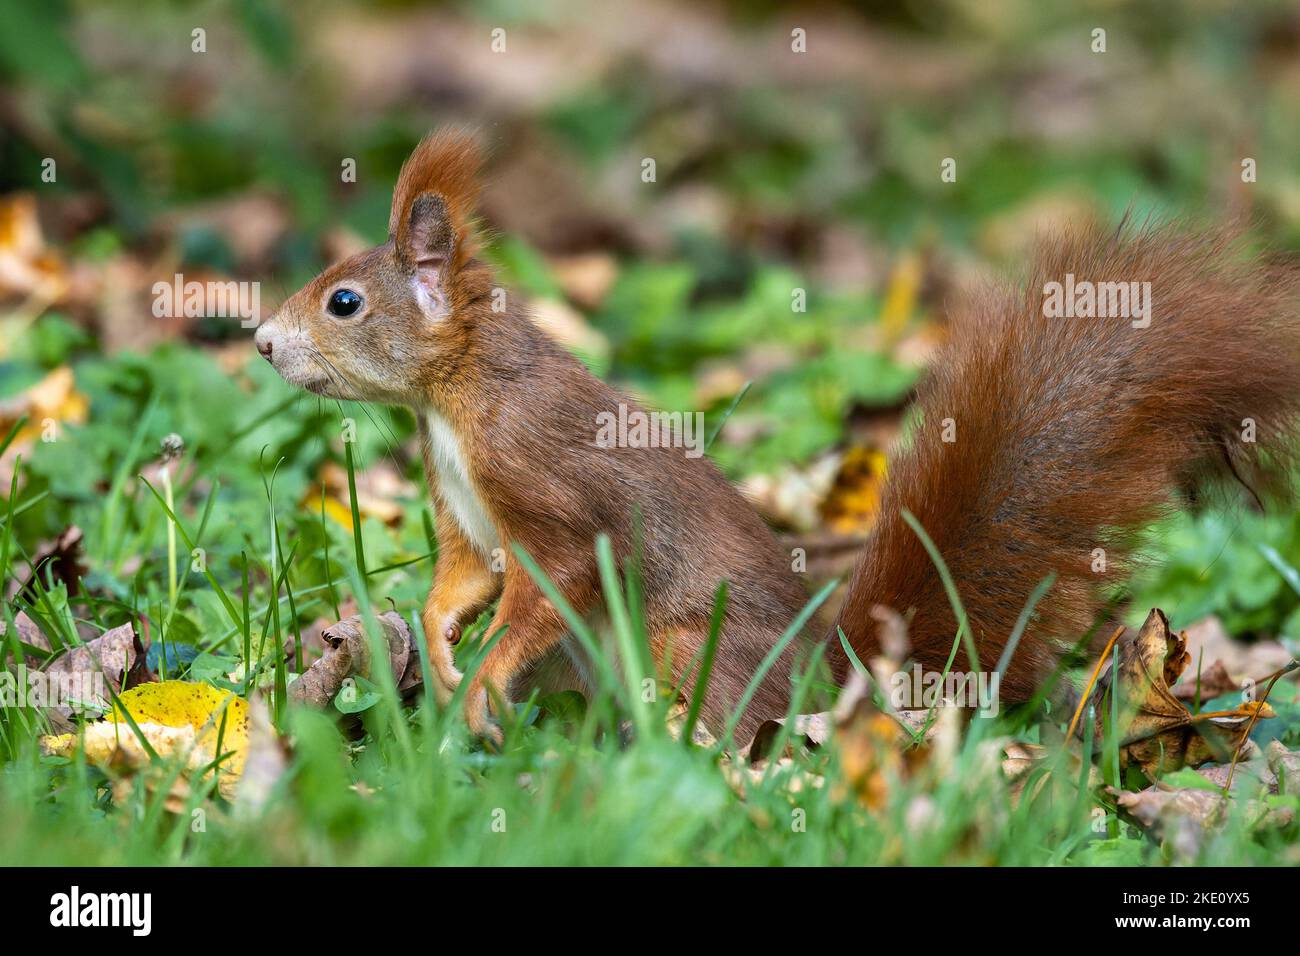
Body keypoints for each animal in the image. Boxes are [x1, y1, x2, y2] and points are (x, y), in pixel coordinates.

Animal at [254, 129, 1300, 743]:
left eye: (344, 303)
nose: (261, 341)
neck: (451, 402)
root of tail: (831, 680)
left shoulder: (543, 486)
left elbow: (552, 584)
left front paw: (479, 684)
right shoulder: (465, 513)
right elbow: (461, 580)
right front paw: (436, 653)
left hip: (688, 647)